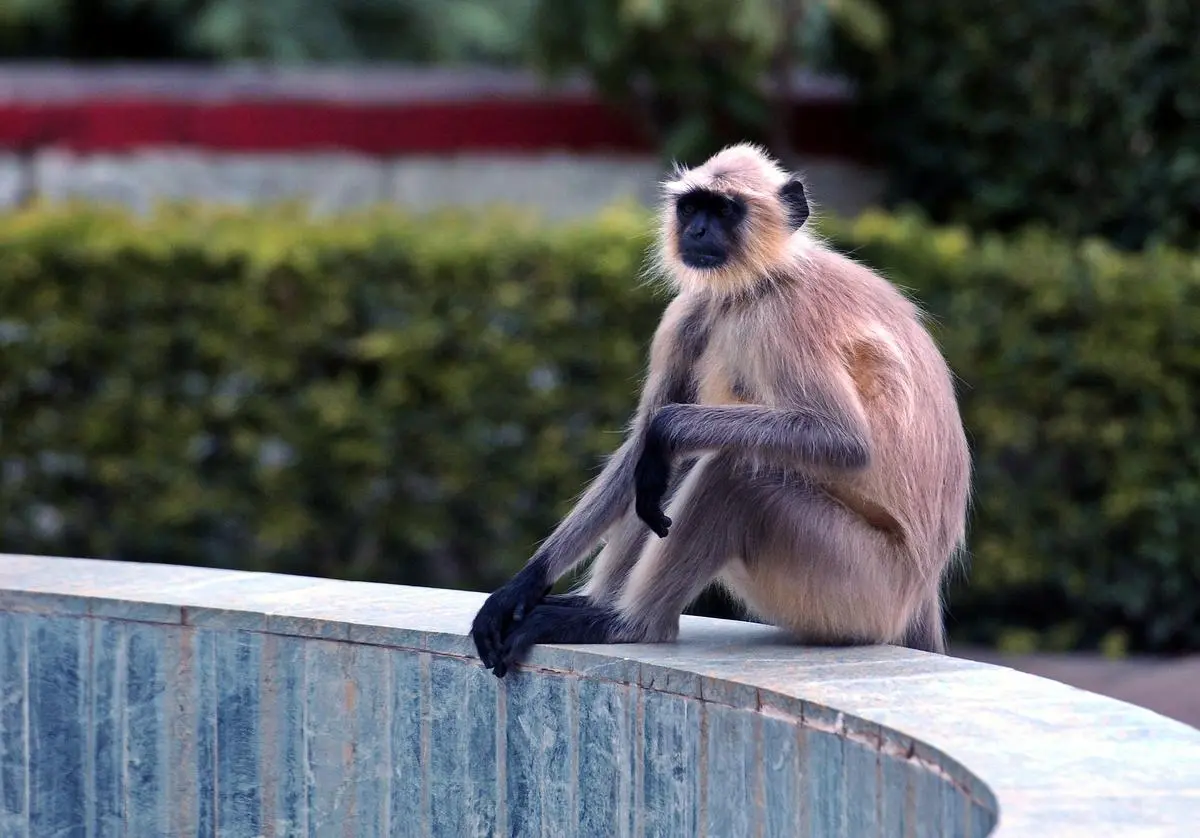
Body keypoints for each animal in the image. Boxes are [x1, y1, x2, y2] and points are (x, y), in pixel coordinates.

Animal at [470, 143, 971, 678]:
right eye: (692, 207)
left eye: (725, 210)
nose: (697, 231)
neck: (757, 285)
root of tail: (921, 593)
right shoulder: (690, 312)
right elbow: (639, 453)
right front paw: (524, 585)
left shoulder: (784, 317)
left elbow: (844, 442)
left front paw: (667, 430)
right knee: (674, 473)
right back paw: (599, 605)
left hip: (863, 587)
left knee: (732, 474)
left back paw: (628, 625)